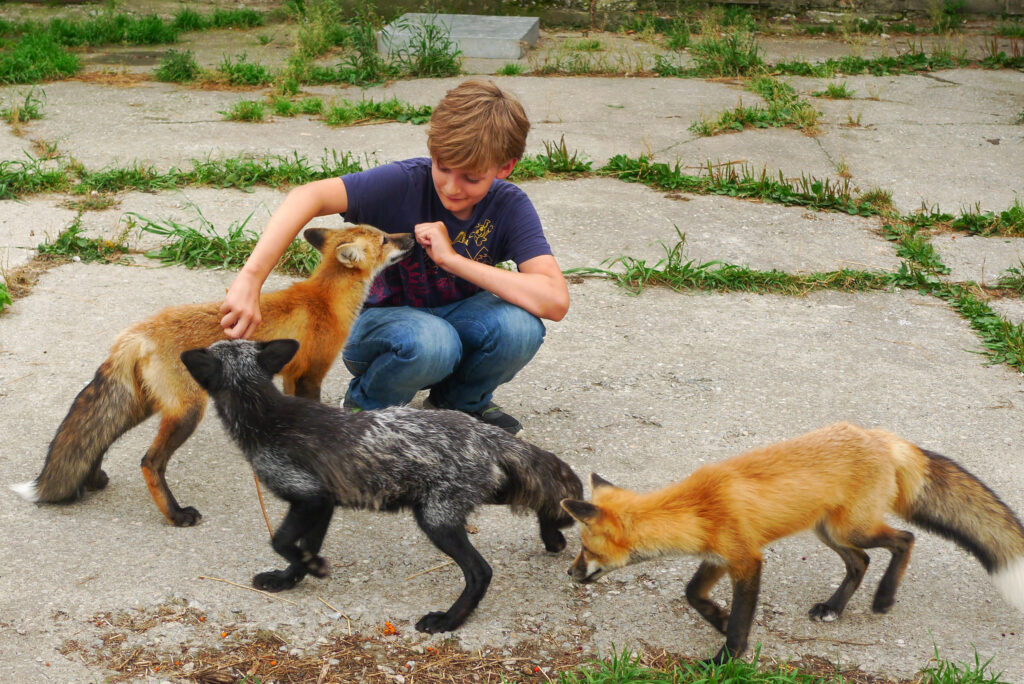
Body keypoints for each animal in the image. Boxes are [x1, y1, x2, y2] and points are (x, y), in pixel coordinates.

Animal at [12, 224, 414, 527]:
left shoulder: (291, 375)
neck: (324, 301)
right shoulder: (311, 373)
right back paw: (176, 515)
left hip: (145, 405)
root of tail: (136, 334)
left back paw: (94, 479)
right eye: (385, 239)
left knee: (99, 438)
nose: (411, 234)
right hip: (188, 411)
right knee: (149, 462)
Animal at [179, 337, 583, 633]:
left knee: (481, 572)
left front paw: (312, 568)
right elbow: (303, 548)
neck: (264, 414)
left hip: (436, 521)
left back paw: (450, 621)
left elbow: (280, 541)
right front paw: (293, 577)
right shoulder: (325, 503)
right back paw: (552, 537)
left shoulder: (309, 497)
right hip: (479, 498)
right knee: (545, 501)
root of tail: (479, 430)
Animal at [560, 422, 1024, 663]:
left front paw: (726, 657)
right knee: (860, 562)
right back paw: (834, 608)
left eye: (586, 550)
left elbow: (741, 621)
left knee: (904, 539)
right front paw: (717, 618)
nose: (569, 571)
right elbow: (693, 594)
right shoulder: (719, 556)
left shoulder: (747, 560)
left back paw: (884, 598)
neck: (698, 508)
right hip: (828, 531)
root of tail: (882, 437)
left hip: (850, 528)